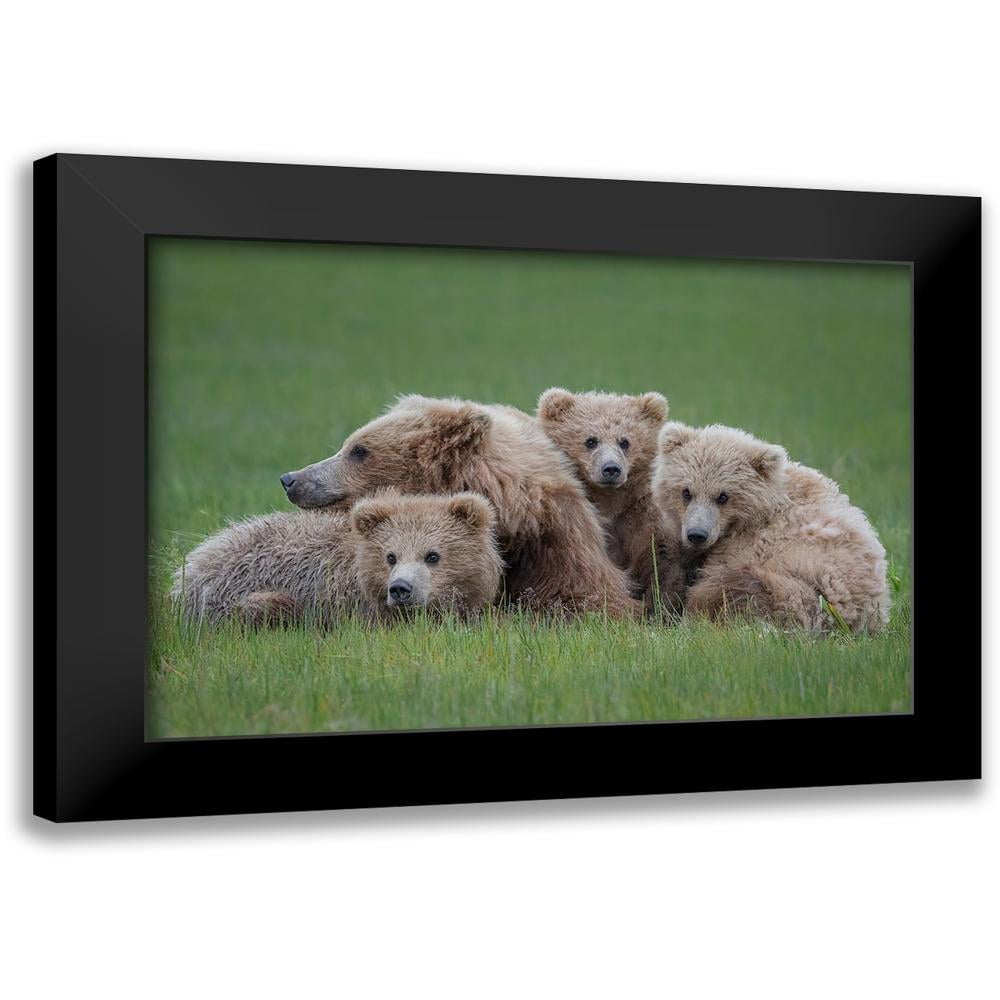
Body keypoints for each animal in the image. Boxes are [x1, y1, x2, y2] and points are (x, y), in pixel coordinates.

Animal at [537, 388, 672, 605]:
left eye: (625, 442)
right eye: (591, 441)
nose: (611, 469)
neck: (609, 501)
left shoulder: (639, 517)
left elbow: (656, 558)